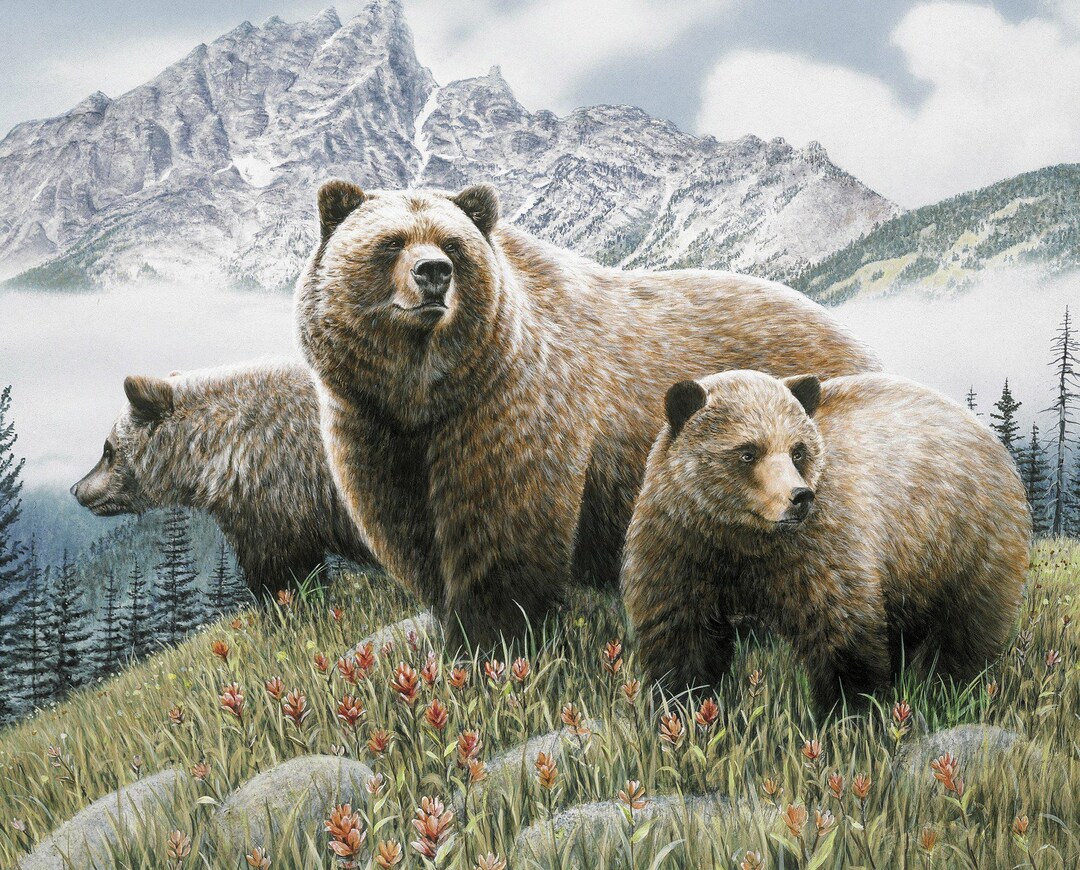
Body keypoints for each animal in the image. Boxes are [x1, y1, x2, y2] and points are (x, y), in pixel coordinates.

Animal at [295, 181, 882, 649]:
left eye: (452, 244)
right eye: (391, 241)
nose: (434, 272)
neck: (427, 393)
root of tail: (862, 344)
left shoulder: (514, 408)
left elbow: (503, 535)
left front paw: (492, 643)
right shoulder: (374, 428)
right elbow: (411, 531)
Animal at [621, 369, 1031, 711]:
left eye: (798, 450)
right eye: (747, 451)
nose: (799, 497)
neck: (744, 541)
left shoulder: (820, 549)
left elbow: (841, 634)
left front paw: (849, 716)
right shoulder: (681, 547)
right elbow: (682, 638)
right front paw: (682, 706)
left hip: (964, 538)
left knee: (966, 628)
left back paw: (949, 689)